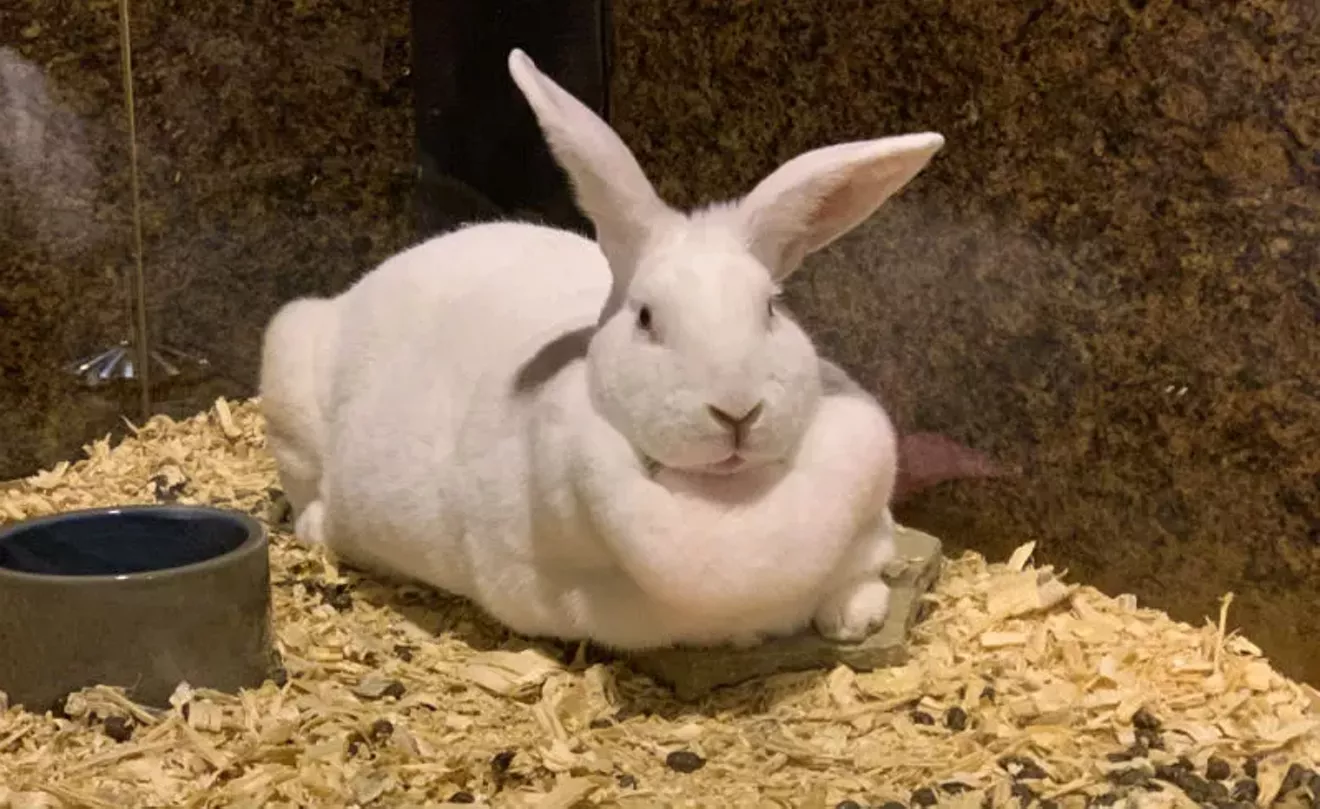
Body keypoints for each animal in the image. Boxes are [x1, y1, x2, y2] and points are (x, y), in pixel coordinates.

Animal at [258, 48, 945, 651]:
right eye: (645, 318)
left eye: (771, 308)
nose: (737, 413)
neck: (731, 496)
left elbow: (862, 573)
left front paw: (854, 616)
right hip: (289, 377)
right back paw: (320, 526)